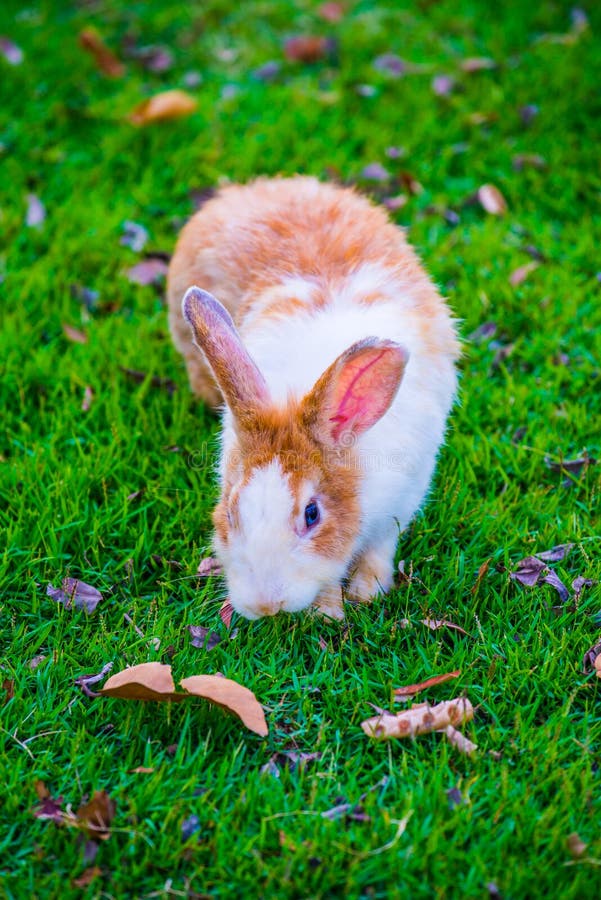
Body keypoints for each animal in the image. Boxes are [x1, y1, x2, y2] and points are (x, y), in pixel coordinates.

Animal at [167, 176, 460, 620]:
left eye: (311, 514)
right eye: (232, 511)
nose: (266, 605)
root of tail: (260, 188)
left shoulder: (403, 498)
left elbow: (379, 548)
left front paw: (364, 593)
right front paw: (328, 610)